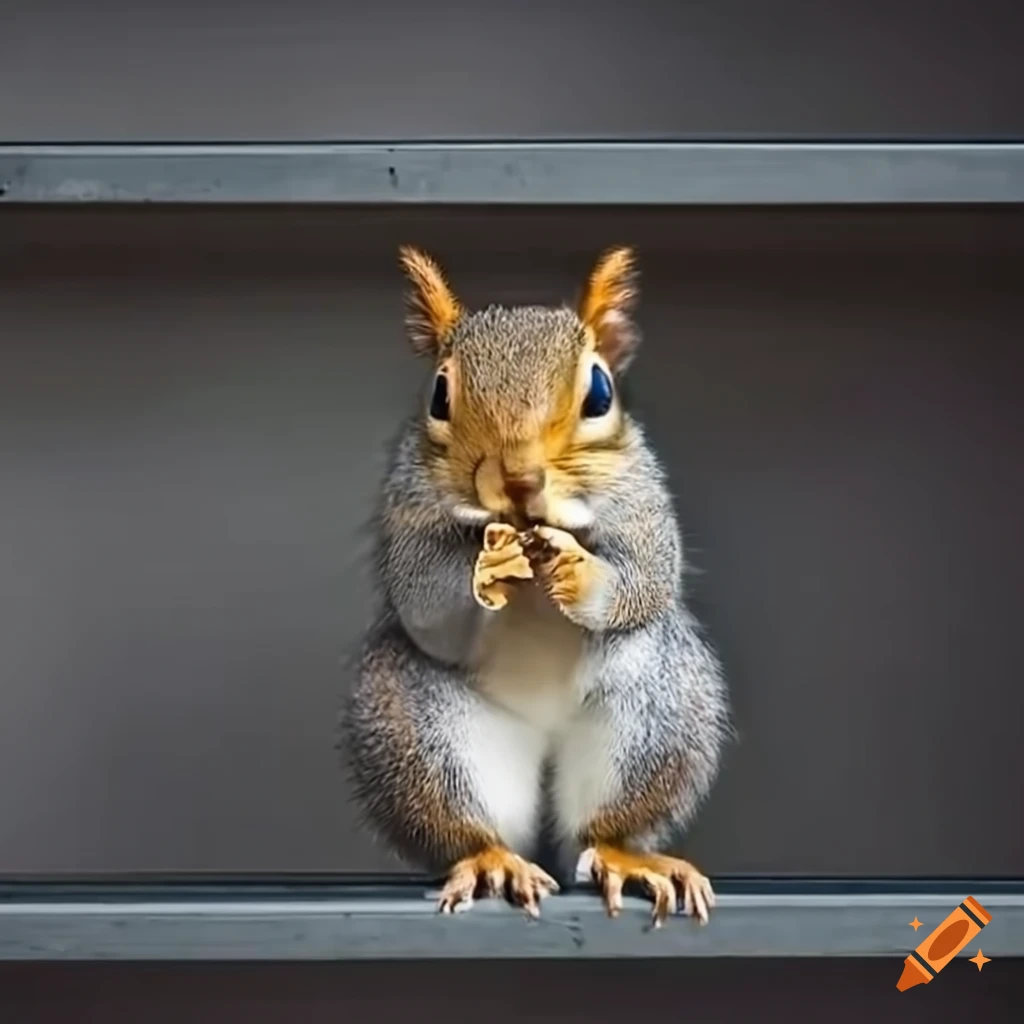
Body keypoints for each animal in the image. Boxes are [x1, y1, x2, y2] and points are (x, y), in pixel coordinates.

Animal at [342, 245, 731, 927]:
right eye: (439, 393)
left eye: (600, 392)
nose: (519, 478)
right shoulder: (405, 511)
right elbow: (426, 605)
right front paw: (487, 569)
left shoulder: (644, 499)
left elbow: (650, 574)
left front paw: (578, 570)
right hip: (420, 730)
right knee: (474, 826)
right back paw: (492, 860)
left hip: (661, 709)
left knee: (603, 827)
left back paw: (623, 857)